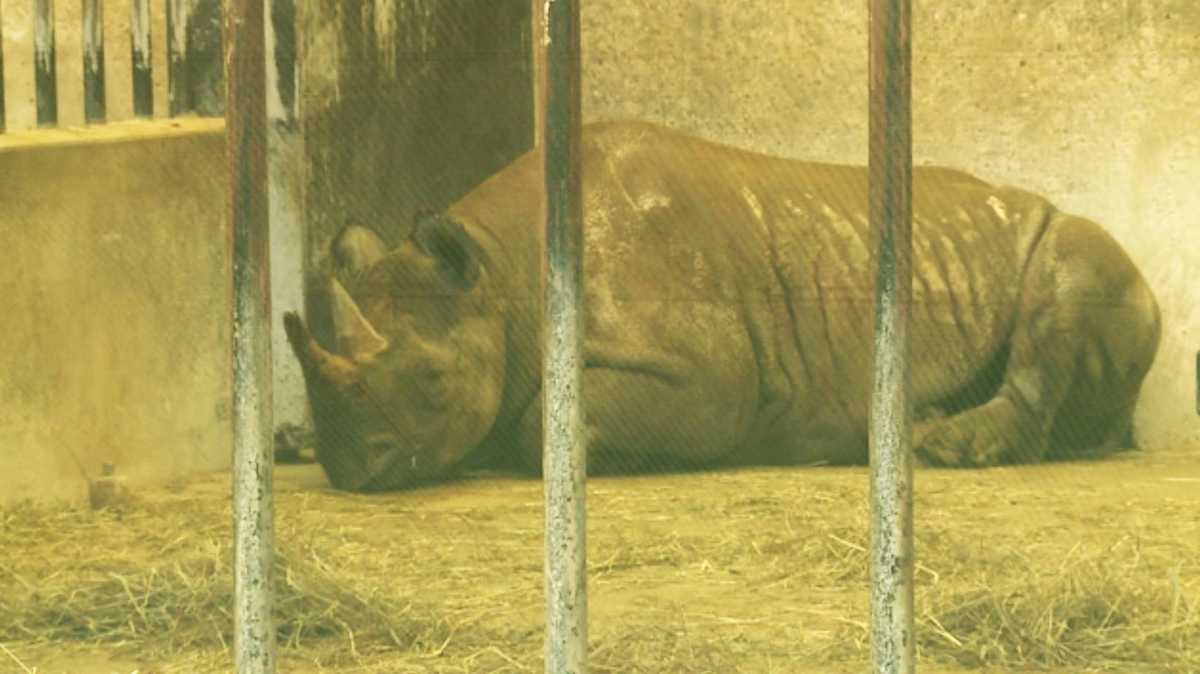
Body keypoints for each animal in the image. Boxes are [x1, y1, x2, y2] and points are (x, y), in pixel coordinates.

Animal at [283, 120, 1161, 492]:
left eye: (433, 383)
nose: (358, 471)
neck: (500, 280)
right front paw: (293, 439)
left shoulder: (705, 376)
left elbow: (548, 424)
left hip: (1085, 248)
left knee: (1071, 267)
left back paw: (935, 448)